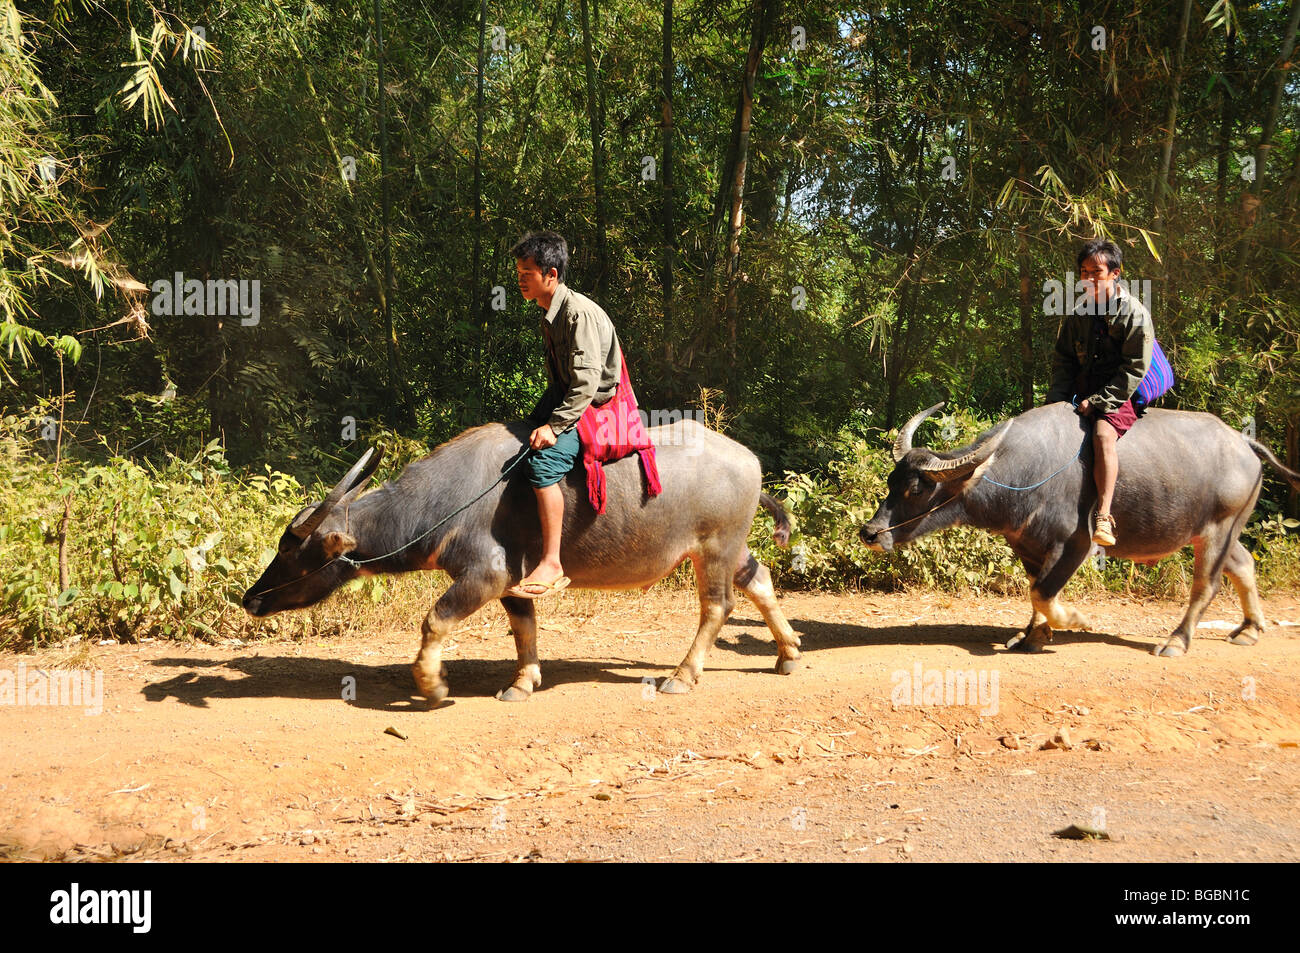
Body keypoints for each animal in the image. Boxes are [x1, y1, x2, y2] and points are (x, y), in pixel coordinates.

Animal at [243, 419, 800, 705]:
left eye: (291, 550)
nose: (251, 598)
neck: (445, 500)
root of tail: (749, 460)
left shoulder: (486, 574)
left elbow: (434, 620)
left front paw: (432, 685)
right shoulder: (513, 581)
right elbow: (524, 628)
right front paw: (523, 681)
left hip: (714, 548)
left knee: (718, 606)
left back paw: (683, 676)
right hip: (732, 547)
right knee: (759, 581)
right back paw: (788, 652)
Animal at [860, 402, 1300, 656]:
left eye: (917, 488)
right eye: (891, 481)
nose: (870, 532)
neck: (1023, 473)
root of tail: (1244, 444)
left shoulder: (1076, 545)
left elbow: (1043, 592)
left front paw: (1074, 620)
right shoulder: (1027, 545)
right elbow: (1035, 590)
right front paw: (1032, 637)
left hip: (1218, 529)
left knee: (1206, 585)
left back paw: (1176, 641)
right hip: (1224, 529)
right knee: (1243, 564)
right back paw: (1249, 630)